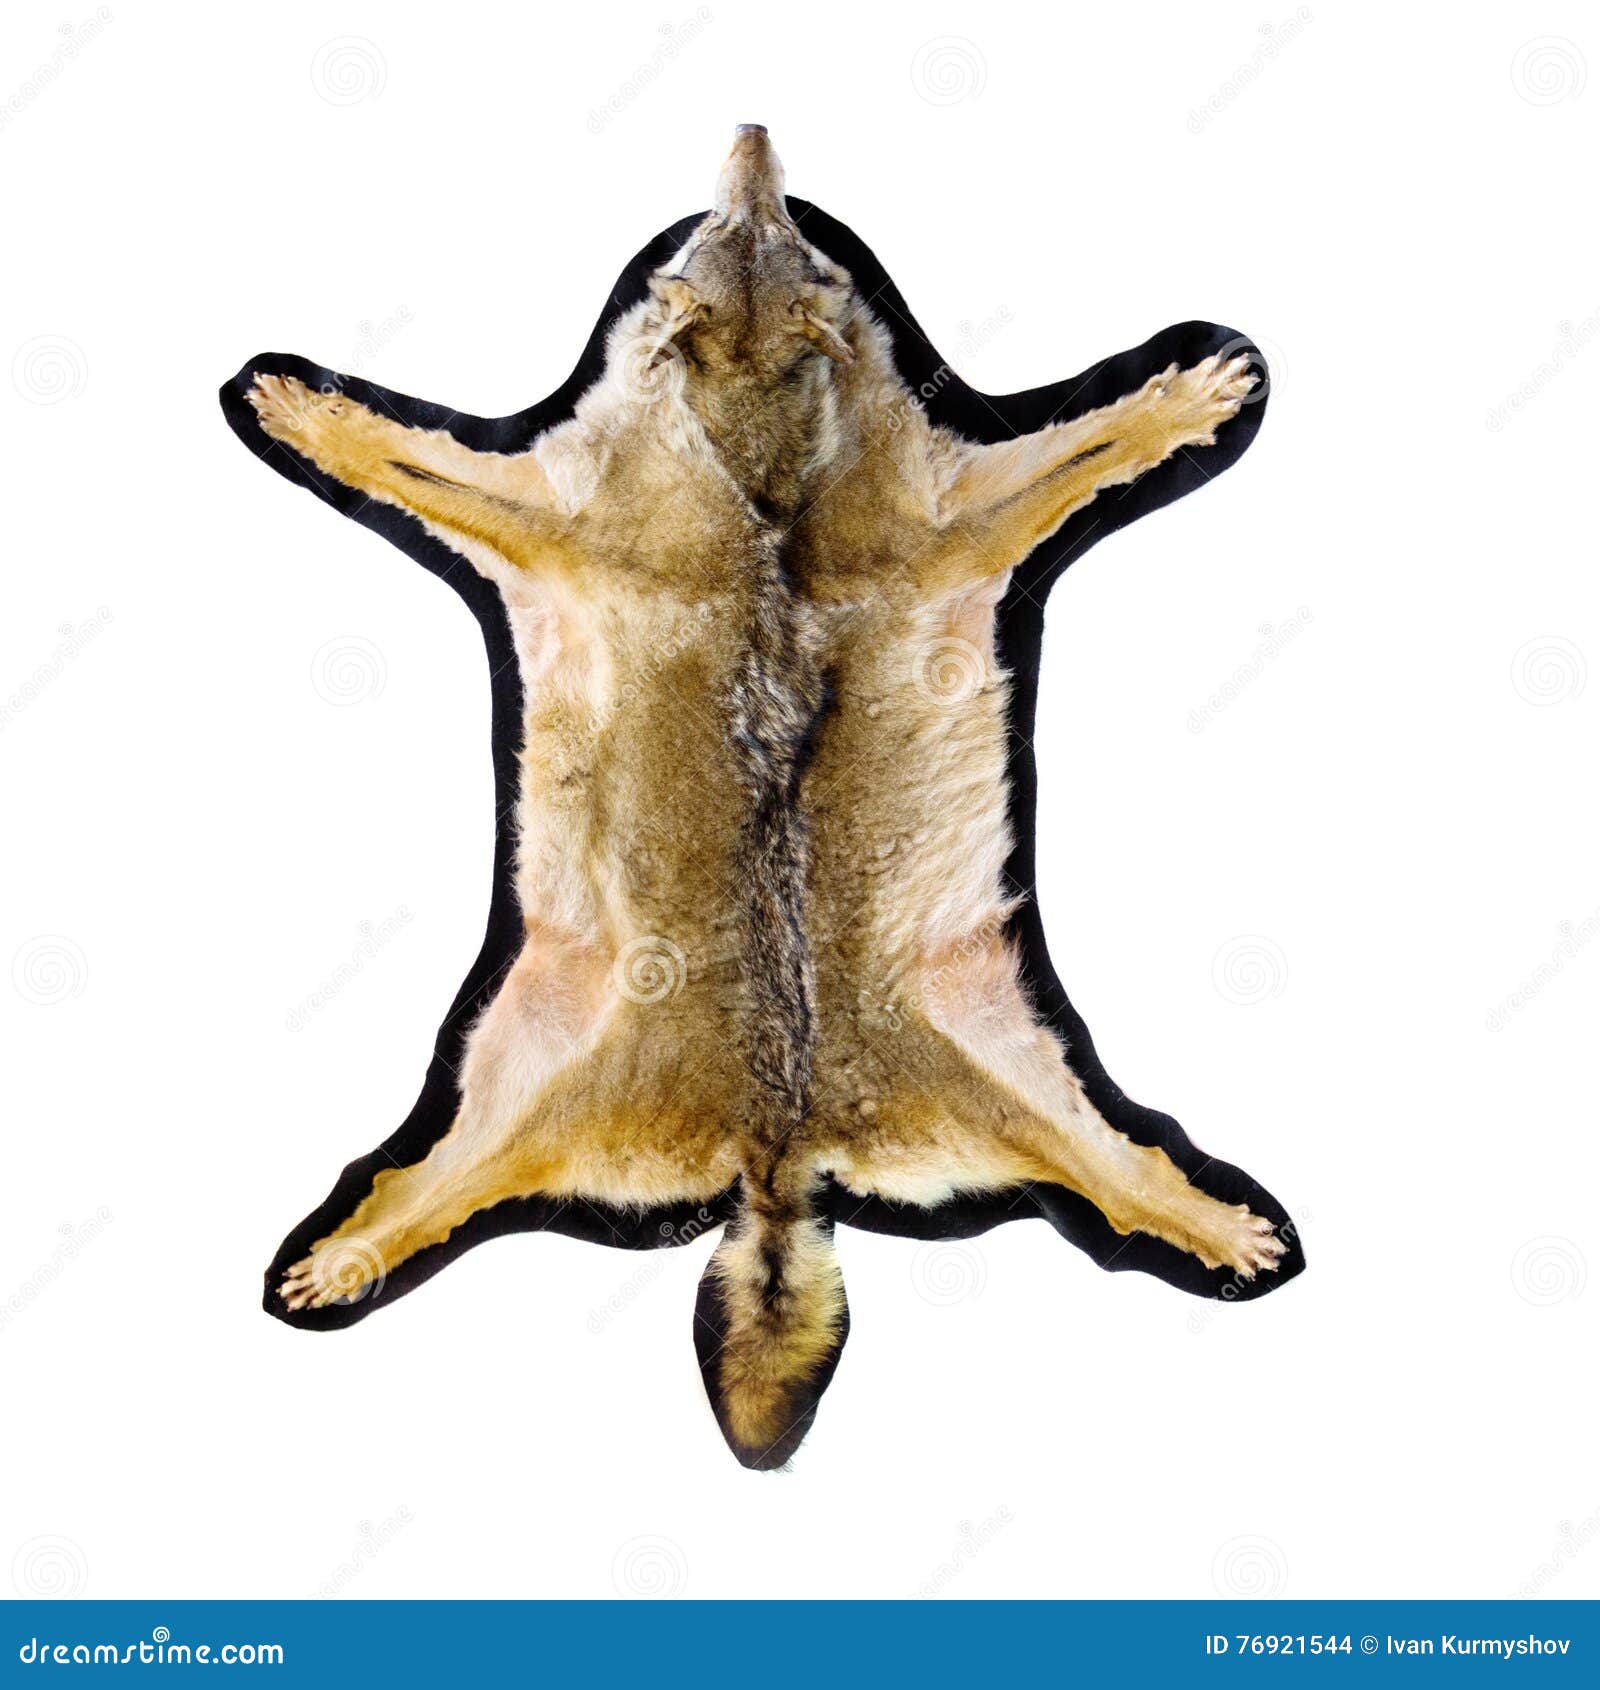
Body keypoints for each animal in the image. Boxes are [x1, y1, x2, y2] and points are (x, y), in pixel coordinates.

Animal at [236, 126, 1294, 1468]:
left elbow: (1096, 442)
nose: (749, 141)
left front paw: (1191, 397)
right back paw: (340, 1258)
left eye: (808, 254)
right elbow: (400, 453)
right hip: (533, 1085)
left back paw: (1221, 1224)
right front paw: (291, 409)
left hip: (993, 1080)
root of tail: (774, 1156)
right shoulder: (558, 526)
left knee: (1109, 1170)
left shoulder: (959, 523)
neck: (760, 481)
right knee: (426, 1187)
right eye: (698, 253)